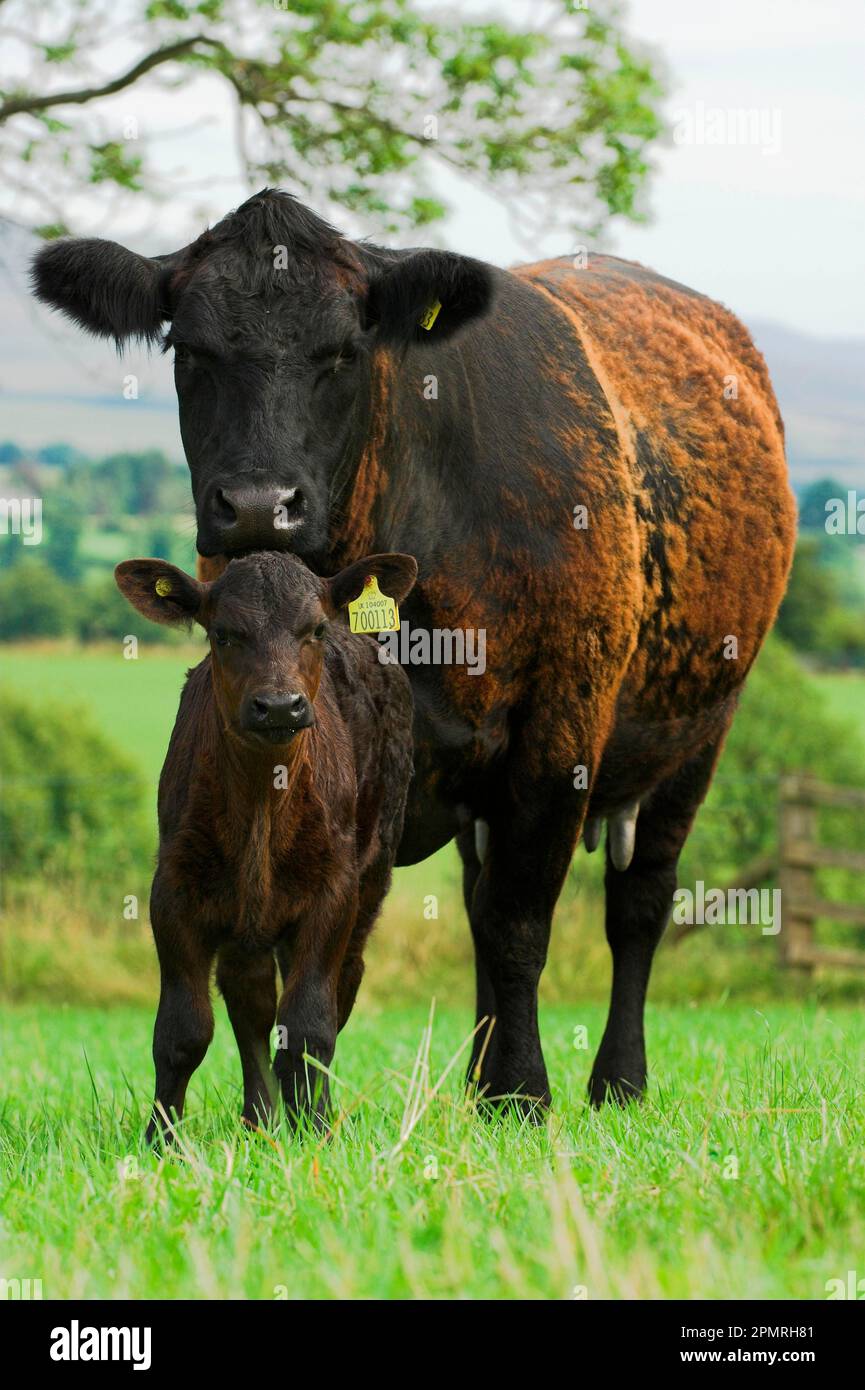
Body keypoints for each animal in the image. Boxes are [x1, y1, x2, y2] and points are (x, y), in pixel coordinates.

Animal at [114, 548, 416, 1137]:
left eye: (315, 629)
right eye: (224, 634)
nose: (279, 706)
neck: (261, 804)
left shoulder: (333, 892)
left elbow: (309, 1026)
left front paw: (314, 1131)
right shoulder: (172, 893)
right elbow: (182, 1031)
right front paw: (161, 1139)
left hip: (369, 884)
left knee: (335, 994)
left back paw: (304, 1115)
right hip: (246, 924)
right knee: (249, 1002)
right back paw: (260, 1119)